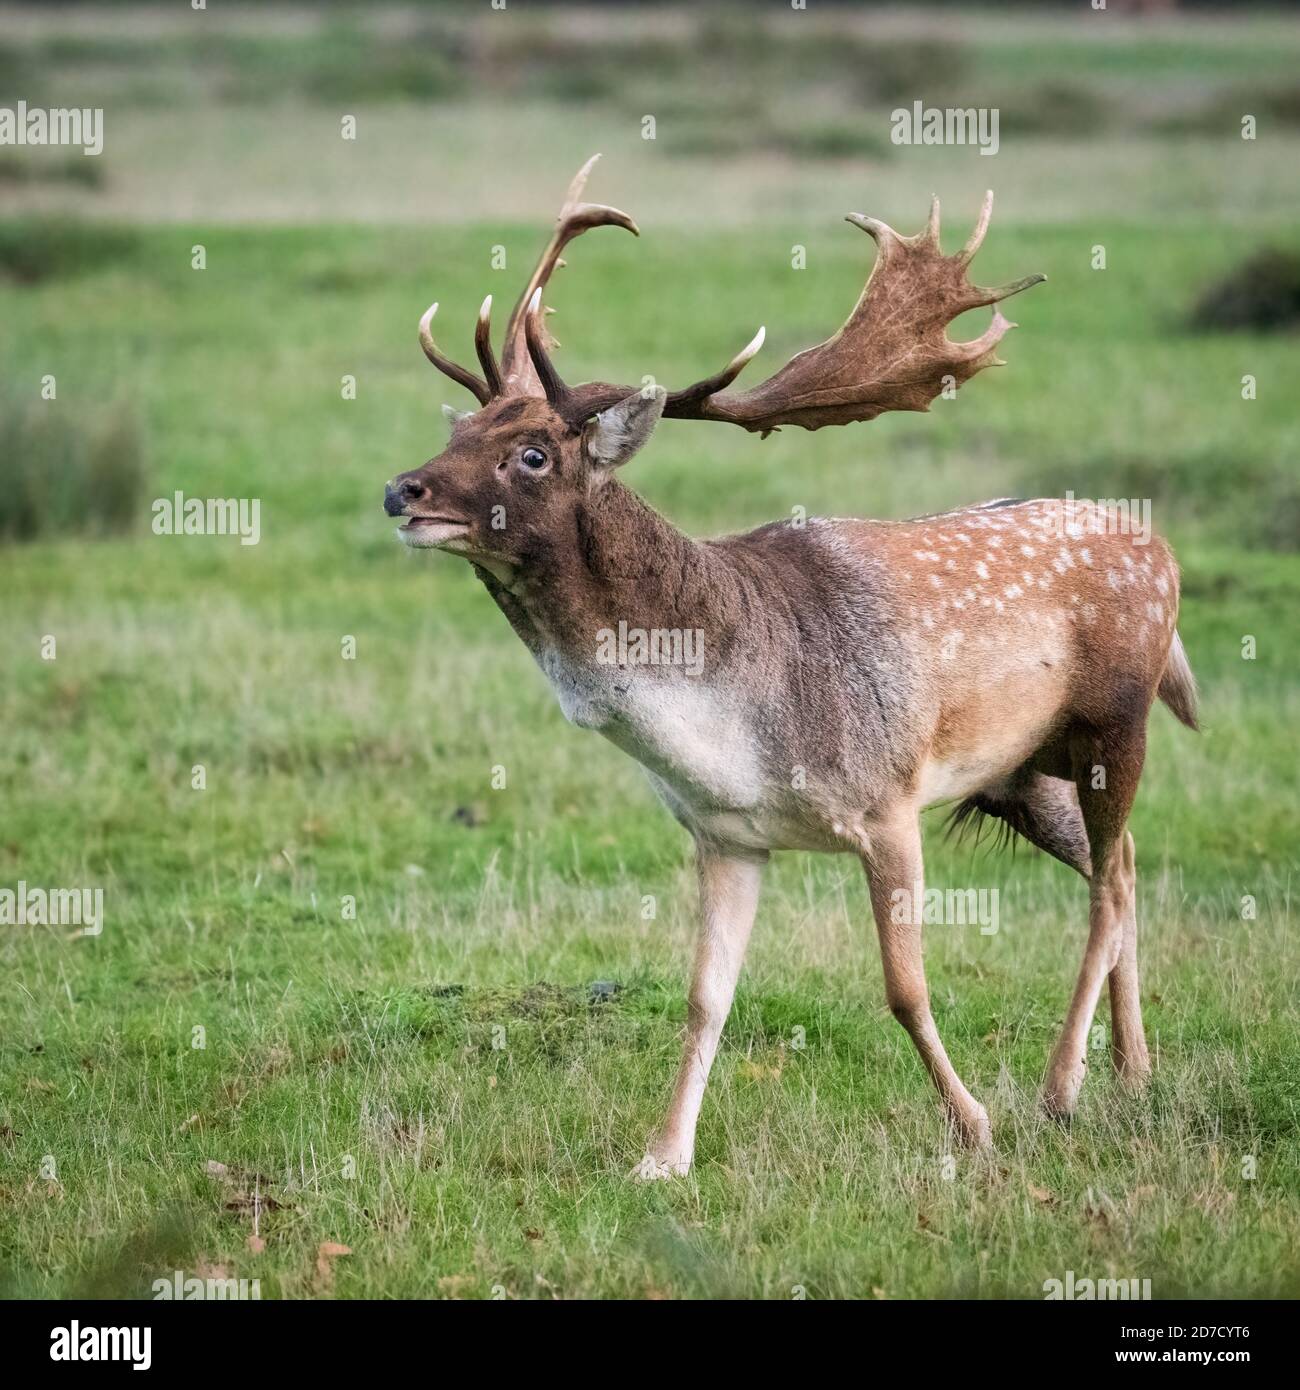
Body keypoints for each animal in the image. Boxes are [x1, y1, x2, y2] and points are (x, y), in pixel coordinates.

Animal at [383, 157, 1201, 1178]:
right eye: (461, 432)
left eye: (531, 453)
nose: (401, 490)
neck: (730, 721)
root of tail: (1160, 546)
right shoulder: (727, 834)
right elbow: (705, 999)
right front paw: (663, 1157)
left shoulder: (887, 800)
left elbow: (904, 989)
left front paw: (971, 1125)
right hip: (1025, 773)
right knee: (1121, 861)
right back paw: (1130, 1071)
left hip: (1117, 720)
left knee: (1113, 883)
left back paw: (1062, 1088)